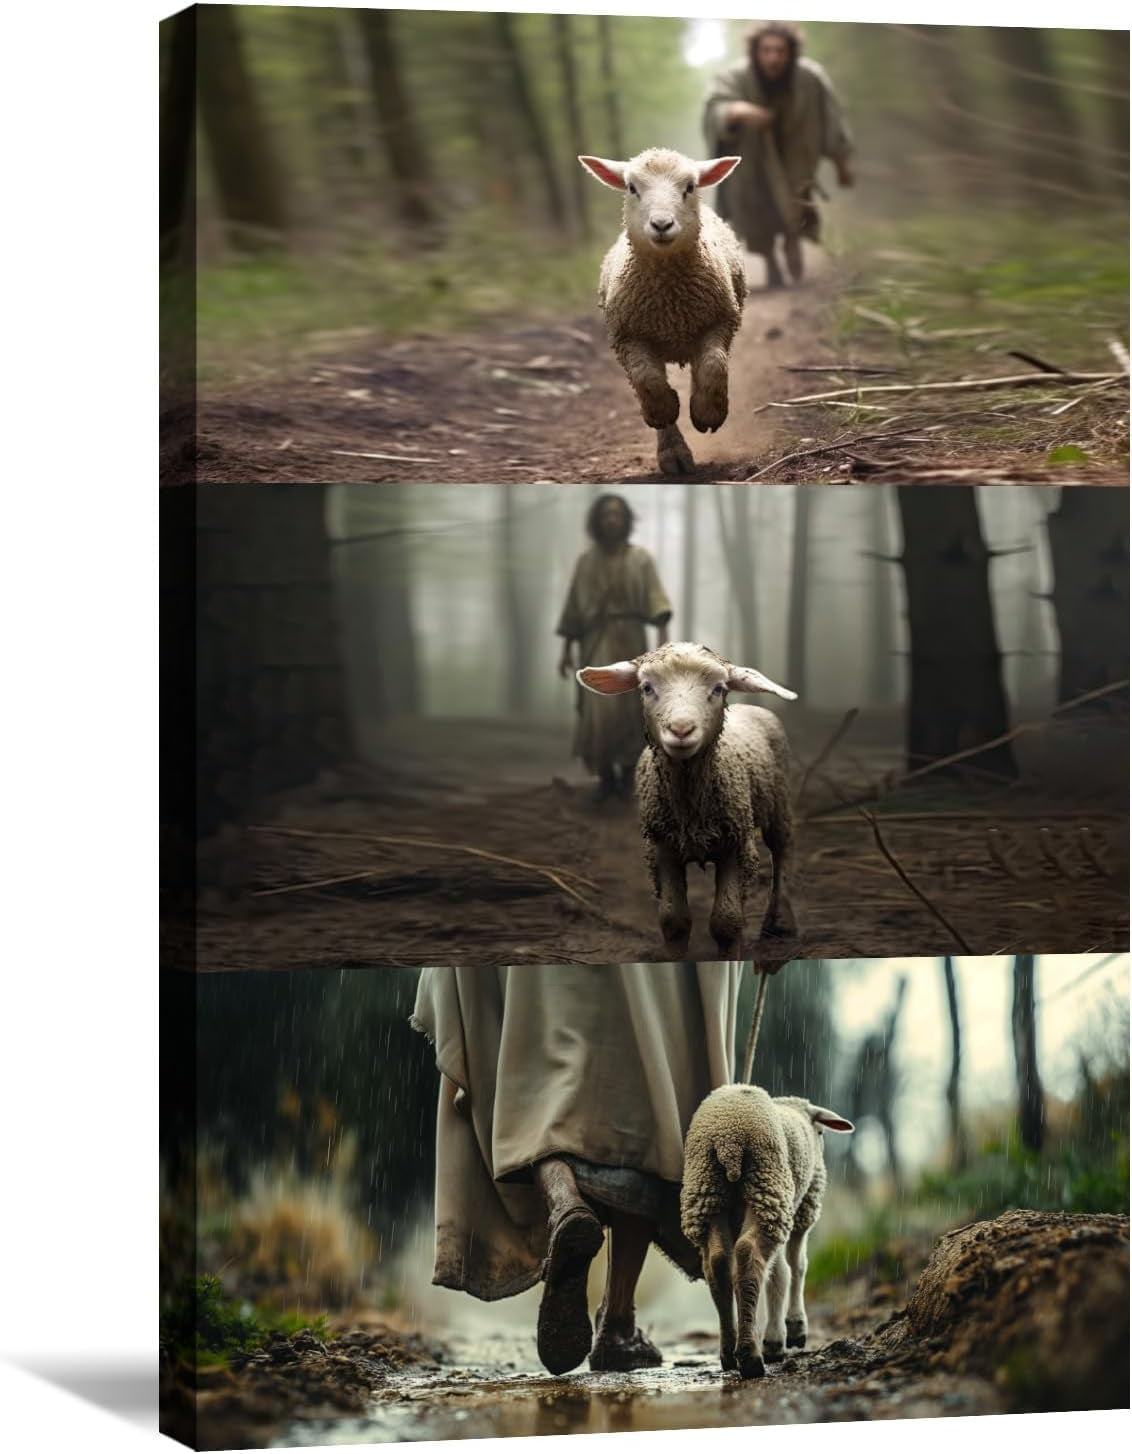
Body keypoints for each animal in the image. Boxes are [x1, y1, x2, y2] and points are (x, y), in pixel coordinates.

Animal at [577, 641, 798, 959]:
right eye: (646, 687)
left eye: (719, 688)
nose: (681, 730)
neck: (690, 807)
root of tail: (748, 706)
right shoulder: (661, 847)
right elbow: (674, 920)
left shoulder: (737, 845)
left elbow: (727, 921)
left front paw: (730, 956)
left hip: (780, 800)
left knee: (783, 850)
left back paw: (781, 922)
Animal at [578, 148, 746, 477]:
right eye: (632, 188)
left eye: (690, 187)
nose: (661, 224)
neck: (670, 300)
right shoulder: (628, 335)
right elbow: (648, 380)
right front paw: (664, 411)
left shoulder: (721, 320)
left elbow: (713, 365)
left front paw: (707, 412)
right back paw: (675, 456)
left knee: (702, 364)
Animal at [680, 1084, 854, 1379]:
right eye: (821, 1132)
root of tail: (728, 1141)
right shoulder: (801, 1211)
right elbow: (793, 1268)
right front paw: (788, 1332)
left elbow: (779, 1271)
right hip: (768, 1188)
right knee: (749, 1256)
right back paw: (750, 1356)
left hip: (706, 1193)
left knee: (718, 1262)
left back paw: (729, 1351)